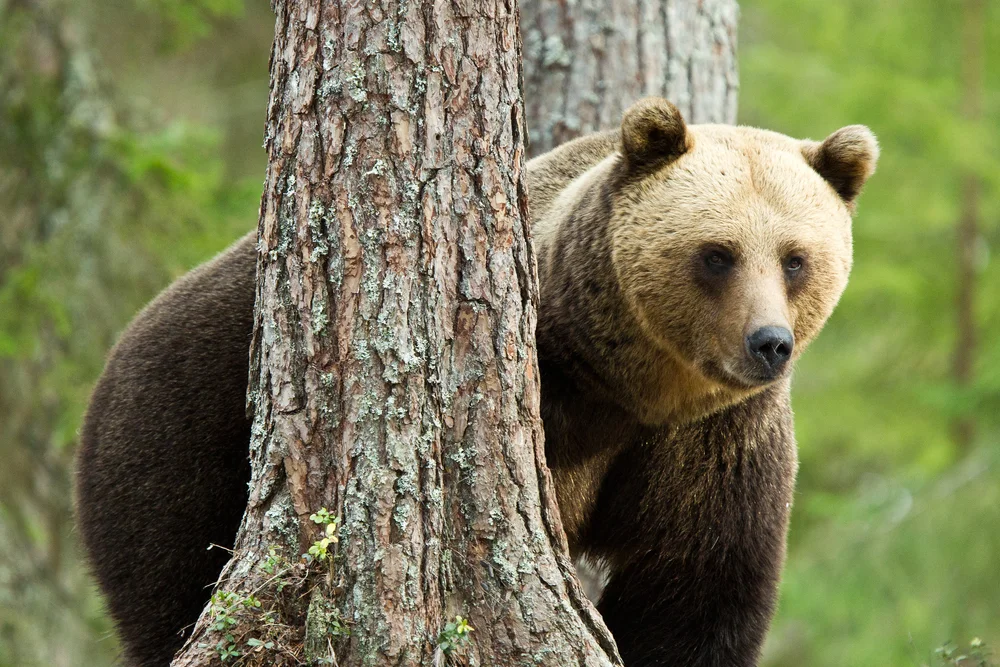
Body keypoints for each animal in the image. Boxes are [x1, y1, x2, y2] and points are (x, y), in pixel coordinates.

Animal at [76, 97, 878, 667]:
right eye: (717, 254)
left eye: (795, 258)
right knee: (164, 569)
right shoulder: (550, 395)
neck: (627, 387)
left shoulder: (710, 440)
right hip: (177, 428)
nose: (767, 343)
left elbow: (697, 586)